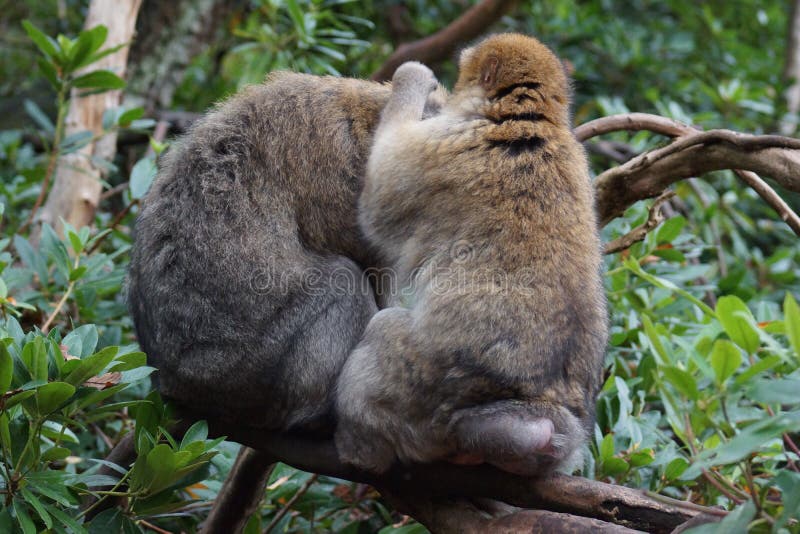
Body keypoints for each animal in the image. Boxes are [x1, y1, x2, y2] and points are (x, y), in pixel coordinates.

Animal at [334, 34, 608, 476]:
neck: (531, 120)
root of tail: (536, 412)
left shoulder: (441, 146)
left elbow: (379, 198)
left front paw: (413, 75)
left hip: (422, 395)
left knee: (386, 330)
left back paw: (358, 448)